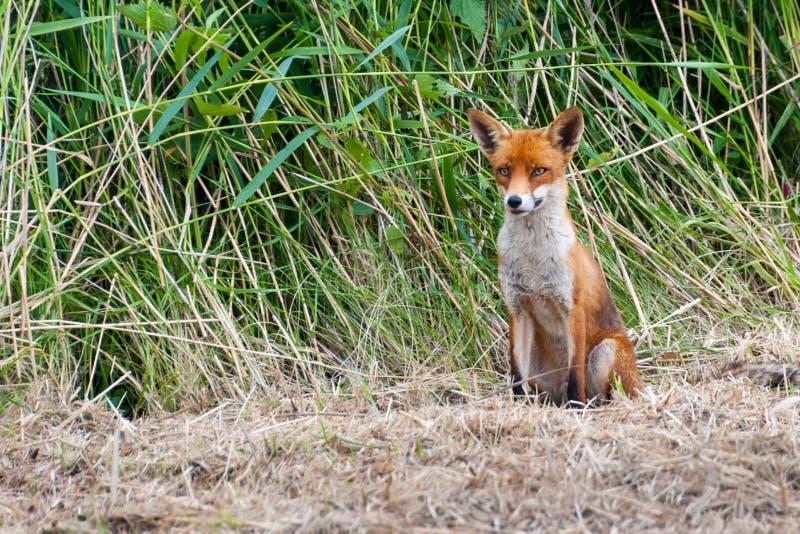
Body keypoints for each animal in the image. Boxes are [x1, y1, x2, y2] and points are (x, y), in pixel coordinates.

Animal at [468, 106, 641, 406]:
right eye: (504, 171)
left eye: (539, 170)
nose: (514, 201)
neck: (533, 261)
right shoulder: (517, 308)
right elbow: (516, 374)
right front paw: (518, 406)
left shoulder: (572, 308)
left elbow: (575, 374)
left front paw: (576, 408)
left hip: (606, 351)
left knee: (603, 393)